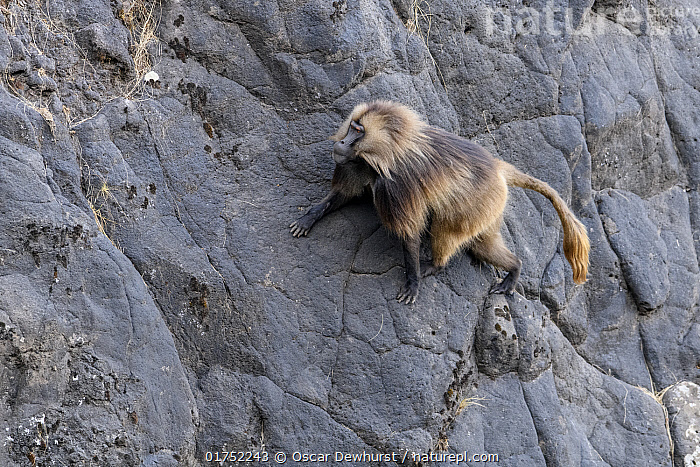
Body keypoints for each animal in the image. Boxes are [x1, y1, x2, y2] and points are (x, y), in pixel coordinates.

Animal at [290, 100, 590, 304]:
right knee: (483, 244)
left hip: (478, 203)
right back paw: (515, 267)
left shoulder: (397, 185)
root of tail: (499, 168)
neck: (392, 149)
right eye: (352, 127)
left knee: (448, 230)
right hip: (491, 209)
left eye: (359, 131)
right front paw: (309, 218)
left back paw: (435, 265)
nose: (341, 143)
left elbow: (410, 233)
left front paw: (412, 282)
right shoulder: (360, 164)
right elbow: (343, 195)